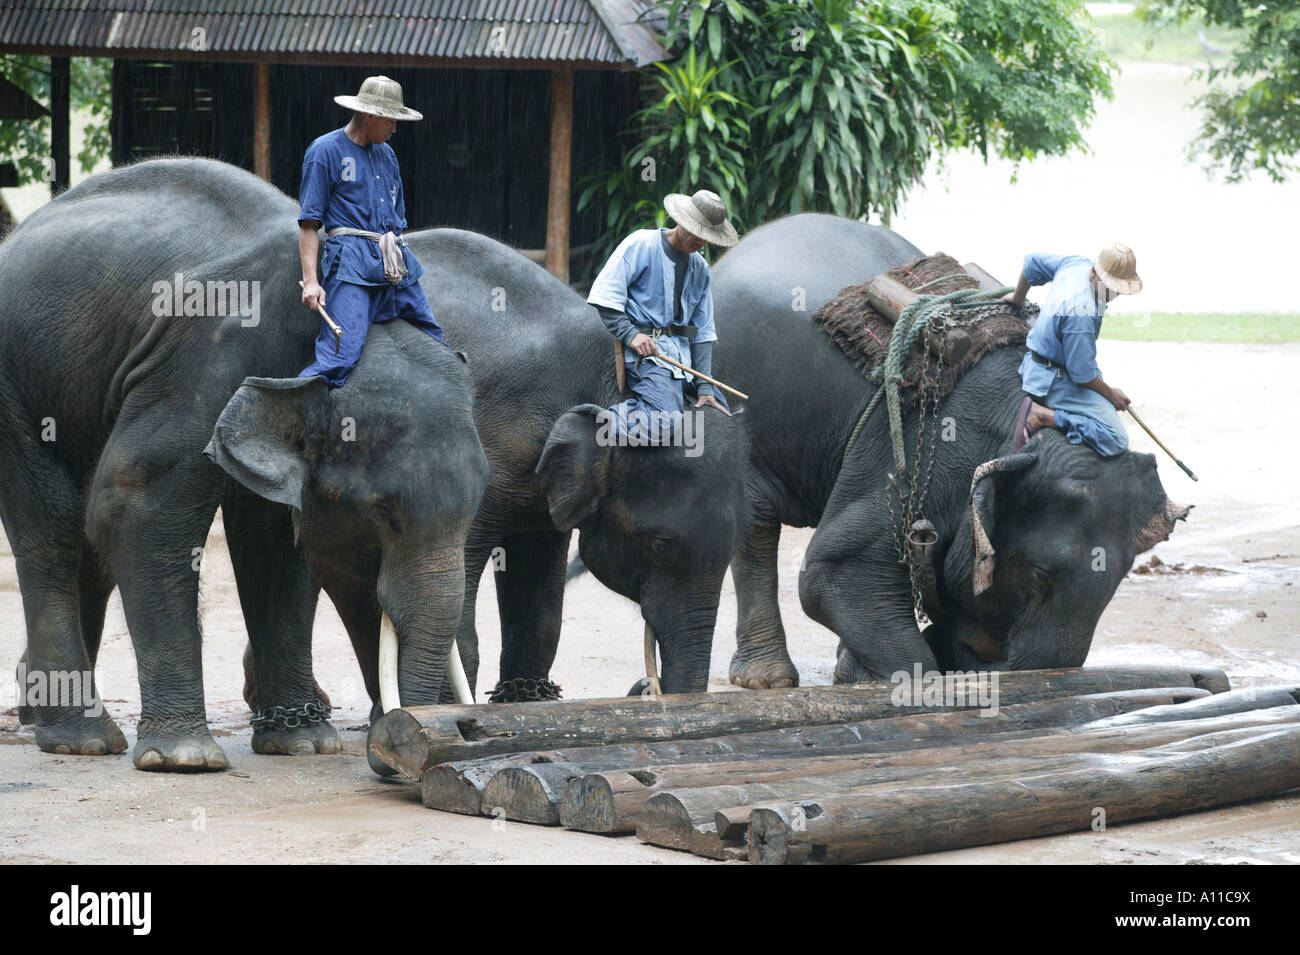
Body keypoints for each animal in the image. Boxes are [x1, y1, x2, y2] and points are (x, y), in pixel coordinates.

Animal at [0, 158, 487, 771]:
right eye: (382, 512)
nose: (407, 742)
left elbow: (278, 540)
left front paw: (302, 742)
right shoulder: (204, 355)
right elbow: (134, 502)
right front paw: (185, 758)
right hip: (12, 387)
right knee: (54, 530)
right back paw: (80, 739)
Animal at [708, 213, 1189, 685]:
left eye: (1120, 578)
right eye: (1038, 577)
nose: (982, 656)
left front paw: (867, 675)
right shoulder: (920, 449)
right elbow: (832, 571)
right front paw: (916, 679)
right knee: (756, 523)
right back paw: (768, 680)